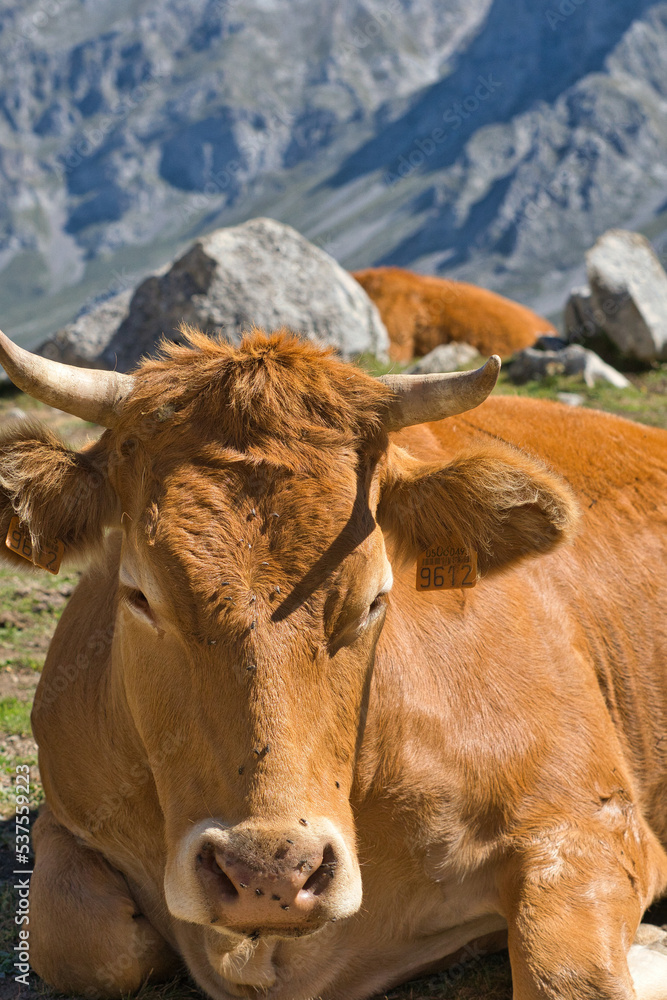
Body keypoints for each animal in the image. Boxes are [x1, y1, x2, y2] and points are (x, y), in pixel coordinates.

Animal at [0, 326, 666, 1000]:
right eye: (139, 595)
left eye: (374, 598)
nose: (268, 872)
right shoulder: (66, 813)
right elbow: (77, 936)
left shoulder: (590, 815)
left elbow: (569, 975)